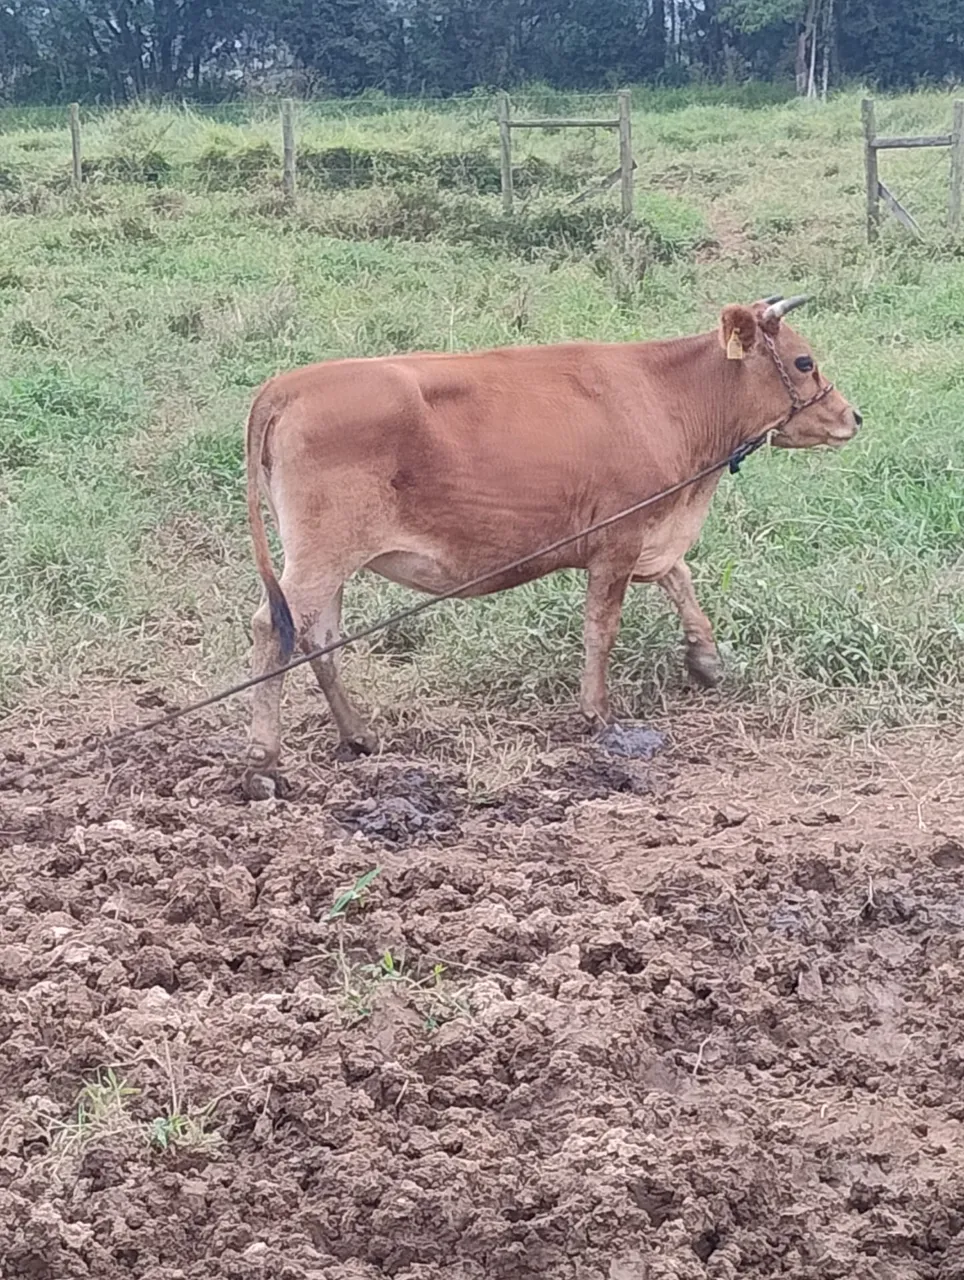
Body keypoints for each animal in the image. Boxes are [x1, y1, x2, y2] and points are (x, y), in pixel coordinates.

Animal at [242, 295, 860, 796]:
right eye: (804, 362)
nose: (852, 415)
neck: (667, 396)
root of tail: (286, 386)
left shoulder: (652, 534)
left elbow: (680, 579)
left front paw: (705, 659)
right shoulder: (619, 538)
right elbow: (601, 629)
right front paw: (598, 714)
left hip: (330, 557)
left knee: (319, 638)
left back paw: (358, 736)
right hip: (323, 552)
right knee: (274, 628)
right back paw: (265, 763)